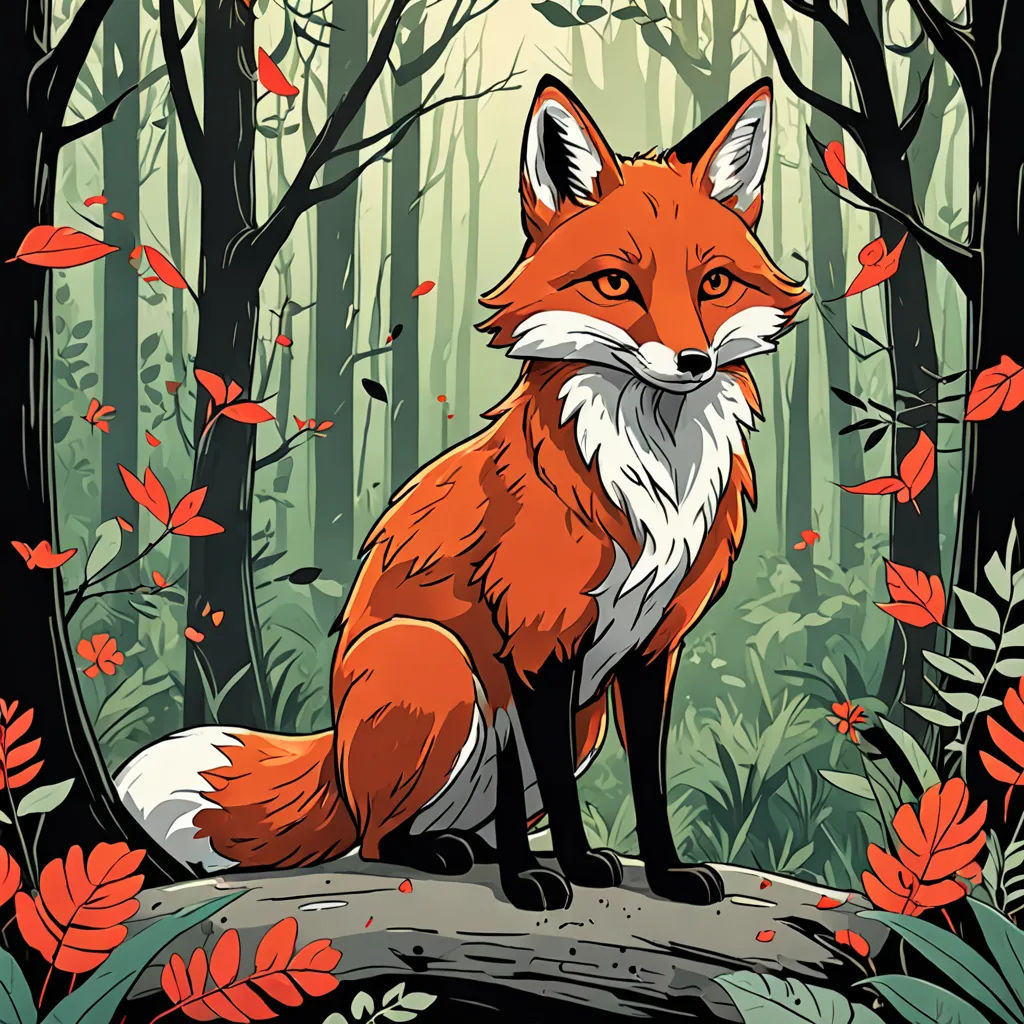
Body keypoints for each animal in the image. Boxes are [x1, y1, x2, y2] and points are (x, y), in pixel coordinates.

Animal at [116, 75, 808, 911]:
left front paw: (667, 874)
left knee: (458, 818)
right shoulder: (536, 642)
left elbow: (649, 782)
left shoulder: (652, 649)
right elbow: (552, 789)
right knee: (378, 838)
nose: (694, 361)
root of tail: (335, 756)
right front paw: (569, 868)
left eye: (714, 284)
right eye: (616, 284)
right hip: (437, 662)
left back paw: (477, 852)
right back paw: (457, 857)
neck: (650, 478)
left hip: (577, 721)